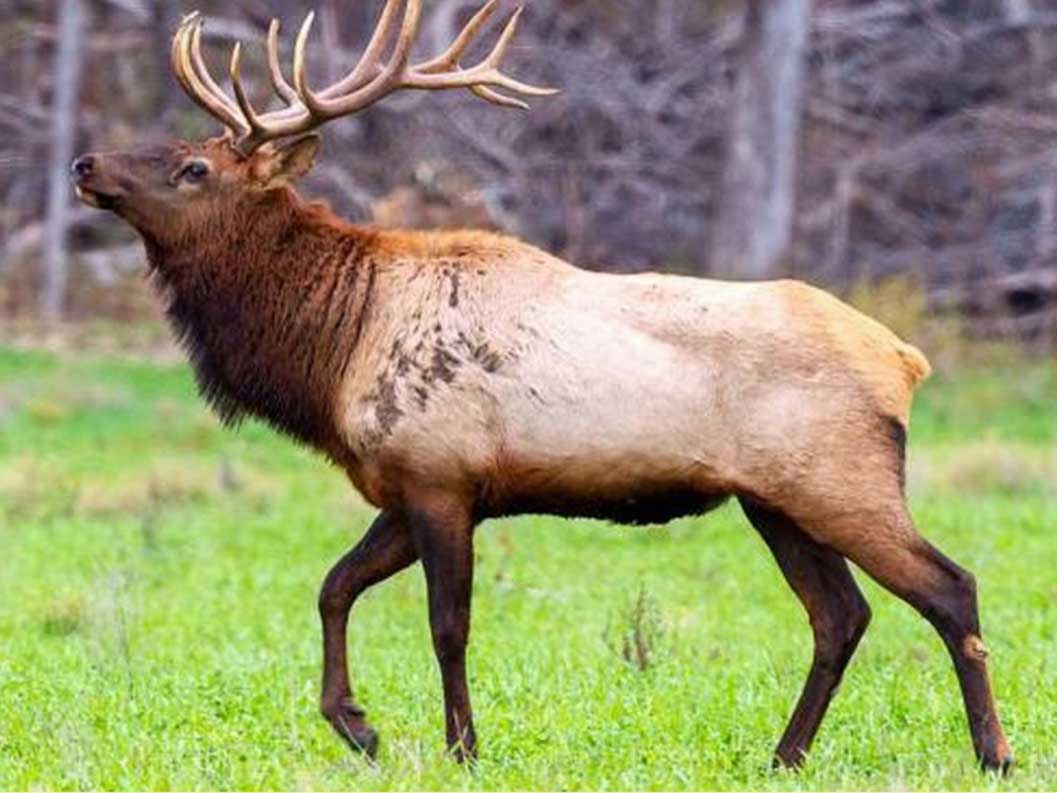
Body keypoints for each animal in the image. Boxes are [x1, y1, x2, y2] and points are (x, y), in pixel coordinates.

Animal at [70, 0, 1013, 773]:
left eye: (194, 168)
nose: (83, 163)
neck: (335, 348)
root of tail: (904, 359)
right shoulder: (409, 486)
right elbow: (333, 585)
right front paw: (357, 724)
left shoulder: (441, 476)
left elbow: (446, 624)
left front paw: (460, 746)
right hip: (775, 500)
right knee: (839, 614)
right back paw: (785, 753)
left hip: (839, 479)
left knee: (947, 586)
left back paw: (991, 752)